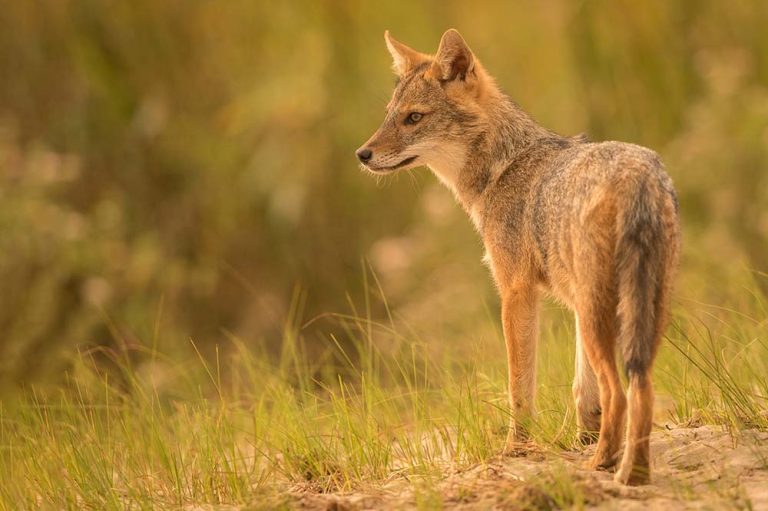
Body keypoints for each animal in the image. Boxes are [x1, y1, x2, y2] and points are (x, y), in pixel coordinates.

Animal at [356, 29, 680, 485]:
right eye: (389, 116)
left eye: (414, 118)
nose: (361, 154)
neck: (504, 167)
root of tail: (638, 173)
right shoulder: (573, 308)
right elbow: (583, 389)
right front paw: (578, 438)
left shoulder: (515, 293)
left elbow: (519, 387)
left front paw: (517, 448)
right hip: (638, 315)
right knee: (642, 388)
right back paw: (633, 470)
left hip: (604, 313)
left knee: (619, 391)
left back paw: (605, 465)